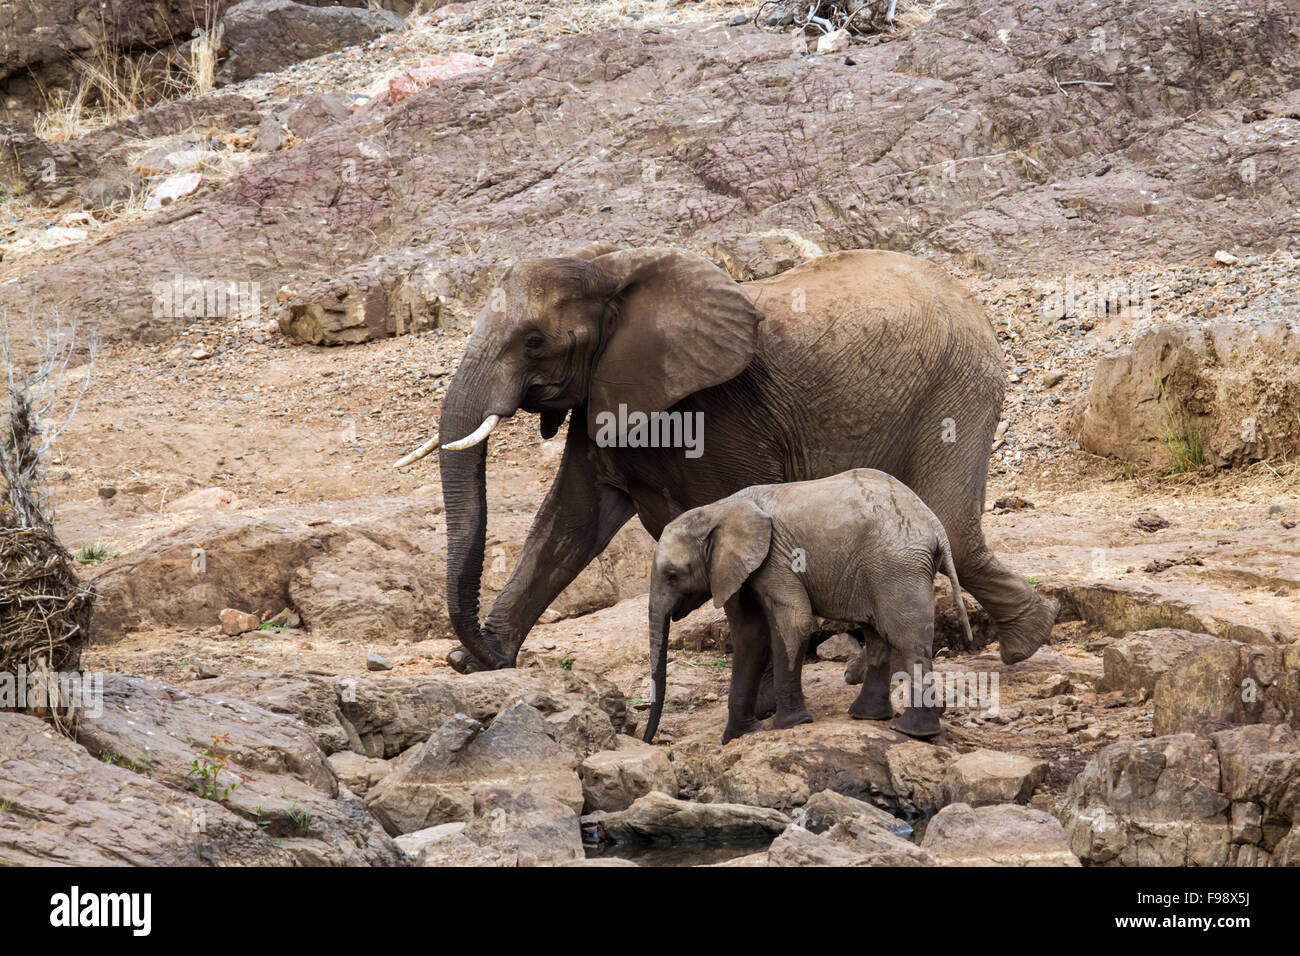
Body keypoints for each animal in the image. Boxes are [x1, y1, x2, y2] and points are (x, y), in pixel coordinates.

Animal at [412, 244, 1057, 682]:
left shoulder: (721, 411)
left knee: (952, 526)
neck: (608, 268)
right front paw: (479, 661)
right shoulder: (609, 393)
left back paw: (1024, 642)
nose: (474, 650)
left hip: (957, 383)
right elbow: (567, 524)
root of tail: (971, 303)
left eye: (533, 342)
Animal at [641, 468, 974, 744]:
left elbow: (794, 623)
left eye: (672, 575)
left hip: (897, 565)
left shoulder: (775, 558)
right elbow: (749, 636)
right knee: (878, 634)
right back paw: (868, 716)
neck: (718, 509)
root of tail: (935, 524)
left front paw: (789, 724)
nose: (647, 740)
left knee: (906, 638)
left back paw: (913, 731)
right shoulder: (733, 569)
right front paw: (737, 735)